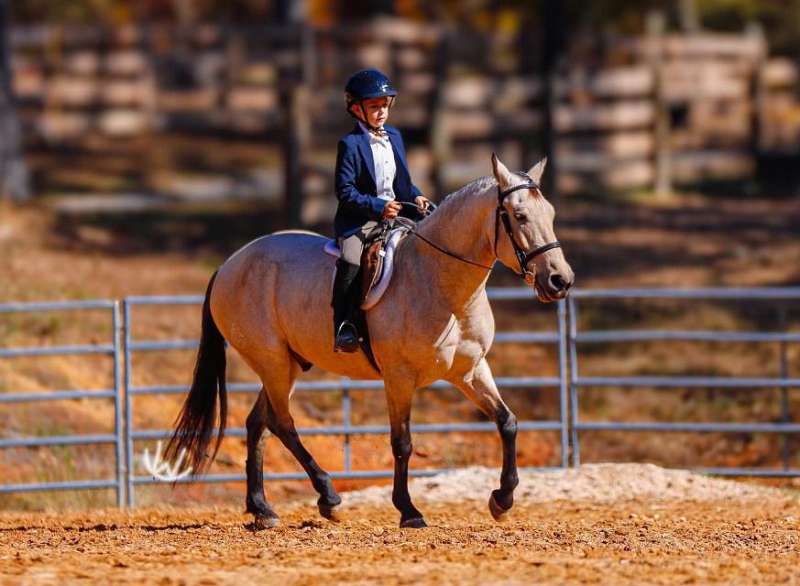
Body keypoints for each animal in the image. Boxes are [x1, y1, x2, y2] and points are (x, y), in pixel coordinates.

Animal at [166, 154, 574, 529]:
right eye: (519, 216)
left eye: (552, 214)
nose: (560, 281)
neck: (440, 282)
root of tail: (229, 264)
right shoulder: (399, 378)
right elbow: (402, 442)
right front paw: (409, 511)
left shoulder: (470, 371)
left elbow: (508, 421)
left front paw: (502, 499)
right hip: (272, 361)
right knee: (282, 423)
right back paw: (328, 497)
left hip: (286, 364)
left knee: (258, 424)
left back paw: (263, 508)